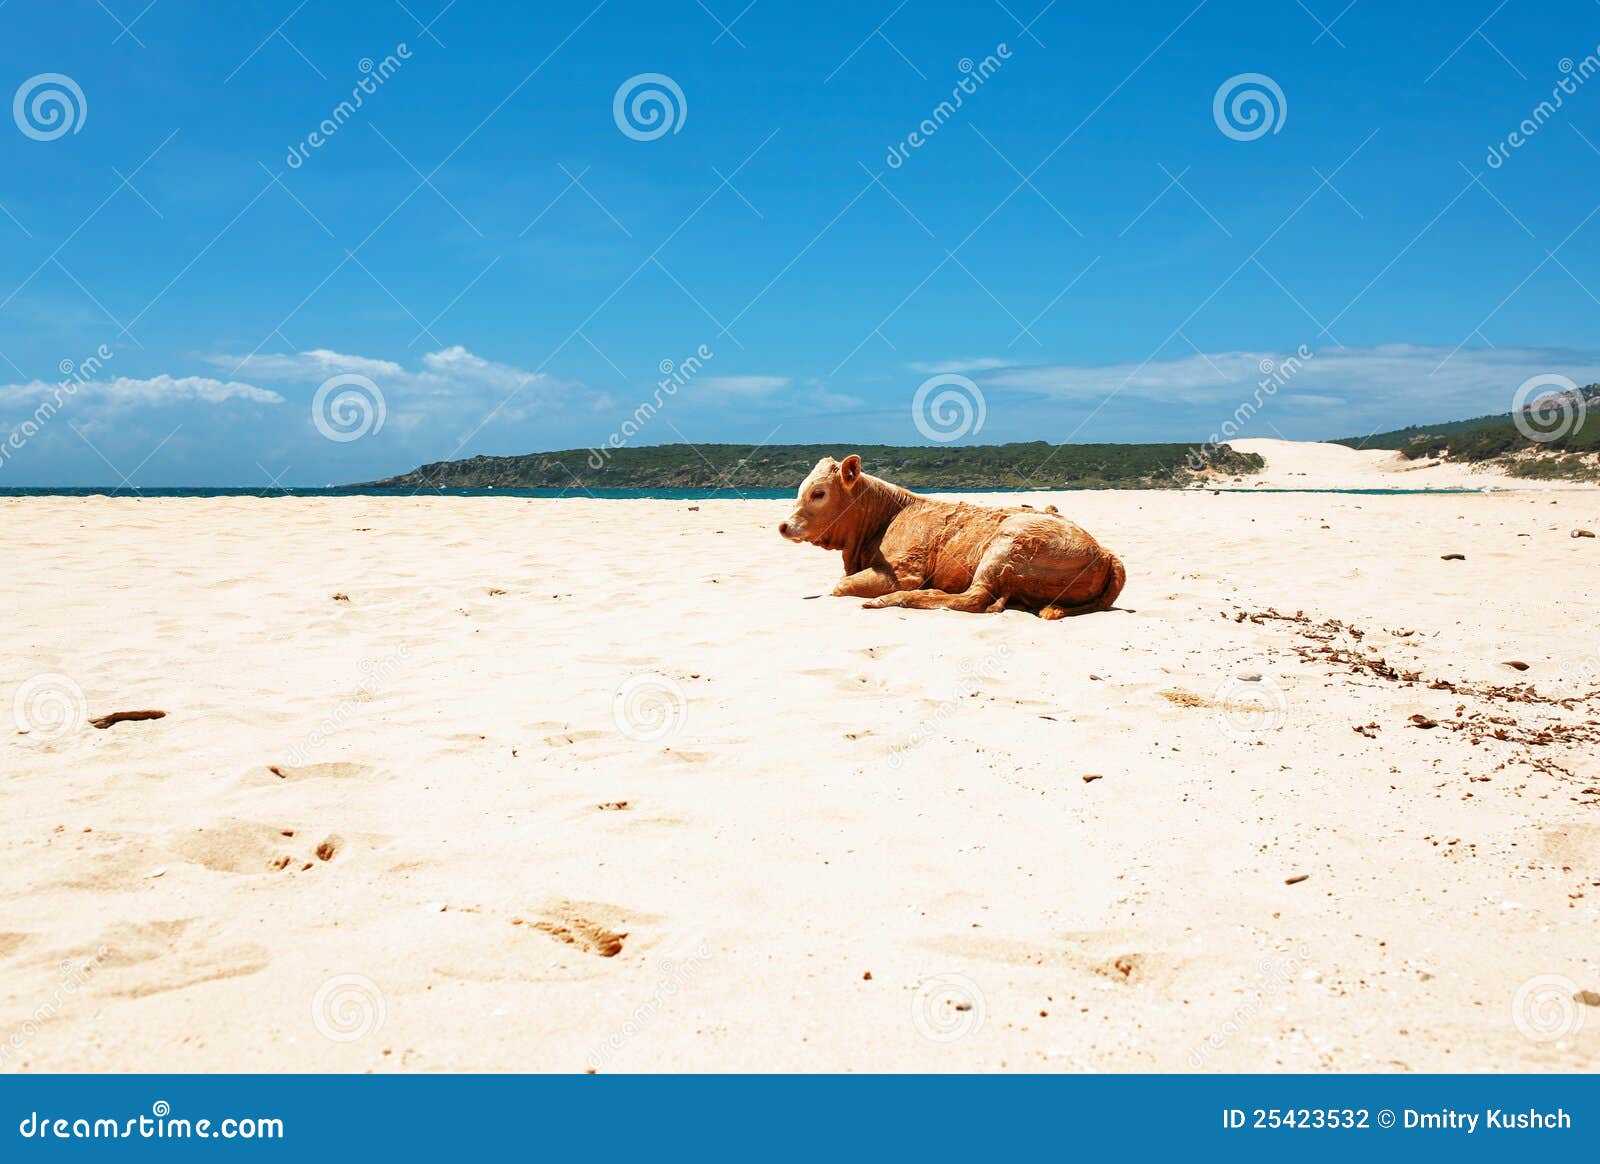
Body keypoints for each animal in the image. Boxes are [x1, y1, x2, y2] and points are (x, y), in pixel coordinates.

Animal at [778, 454, 1125, 618]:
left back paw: (895, 599)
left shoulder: (904, 571)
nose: (783, 526)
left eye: (818, 493)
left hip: (1005, 545)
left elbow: (840, 586)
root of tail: (1105, 552)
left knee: (975, 598)